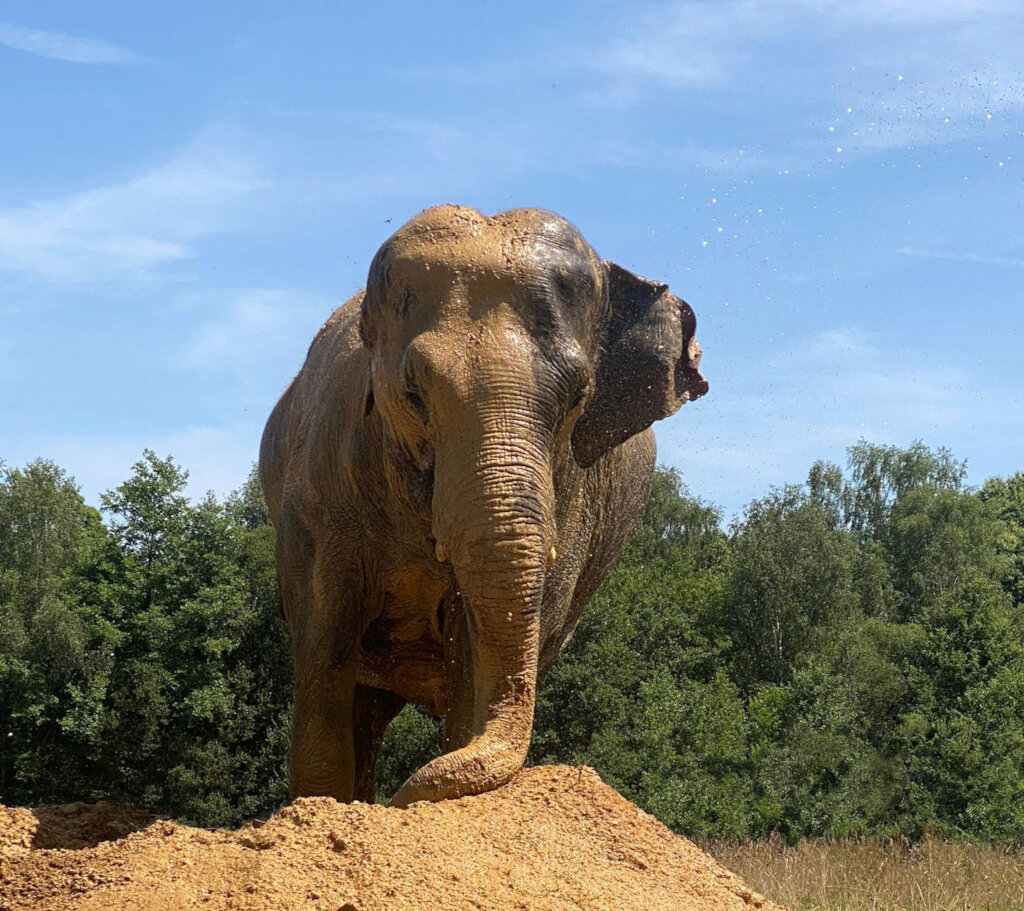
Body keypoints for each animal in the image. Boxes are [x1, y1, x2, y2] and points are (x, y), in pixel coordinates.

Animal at [259, 205, 708, 808]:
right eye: (414, 395)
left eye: (579, 397)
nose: (404, 797)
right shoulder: (322, 495)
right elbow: (323, 643)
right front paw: (324, 809)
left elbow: (475, 657)